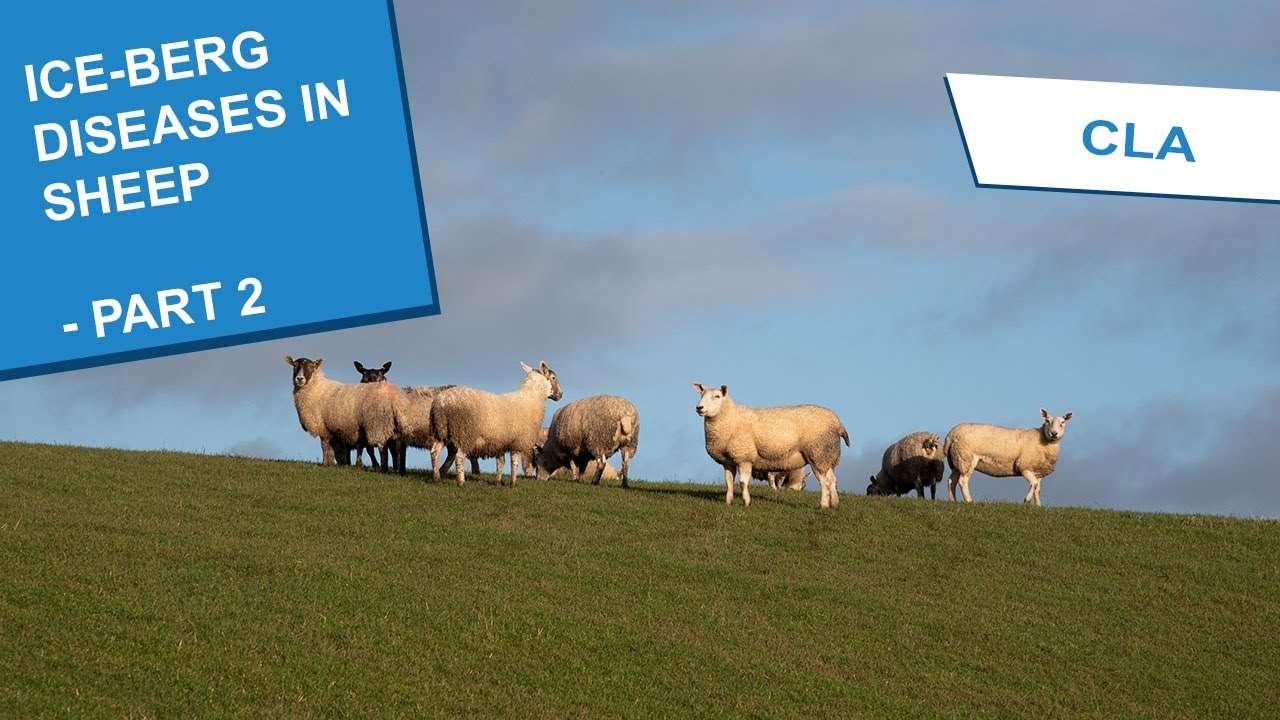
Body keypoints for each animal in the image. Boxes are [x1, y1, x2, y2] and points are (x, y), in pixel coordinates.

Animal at [430, 361, 563, 486]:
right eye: (553, 378)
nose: (561, 394)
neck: (531, 398)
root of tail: (443, 402)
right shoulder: (518, 441)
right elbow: (514, 462)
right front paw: (513, 483)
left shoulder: (500, 442)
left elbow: (500, 462)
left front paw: (498, 482)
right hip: (465, 433)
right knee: (459, 457)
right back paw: (461, 482)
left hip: (440, 432)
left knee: (434, 452)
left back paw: (436, 478)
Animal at [693, 383, 850, 508]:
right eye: (701, 394)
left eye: (717, 396)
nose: (699, 407)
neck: (731, 418)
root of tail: (837, 422)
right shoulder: (728, 461)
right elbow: (729, 483)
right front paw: (728, 502)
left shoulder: (744, 457)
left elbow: (743, 483)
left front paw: (746, 502)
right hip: (828, 455)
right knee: (832, 480)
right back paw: (835, 505)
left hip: (818, 452)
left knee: (824, 481)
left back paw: (824, 505)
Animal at [944, 408, 1074, 506]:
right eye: (1047, 421)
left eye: (1063, 422)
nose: (1054, 433)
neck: (1043, 440)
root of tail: (952, 433)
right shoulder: (1024, 466)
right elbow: (1034, 484)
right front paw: (1026, 501)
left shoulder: (1038, 472)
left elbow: (1037, 488)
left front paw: (1038, 505)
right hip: (967, 458)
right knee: (963, 481)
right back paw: (969, 501)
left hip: (957, 460)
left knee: (951, 480)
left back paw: (953, 500)